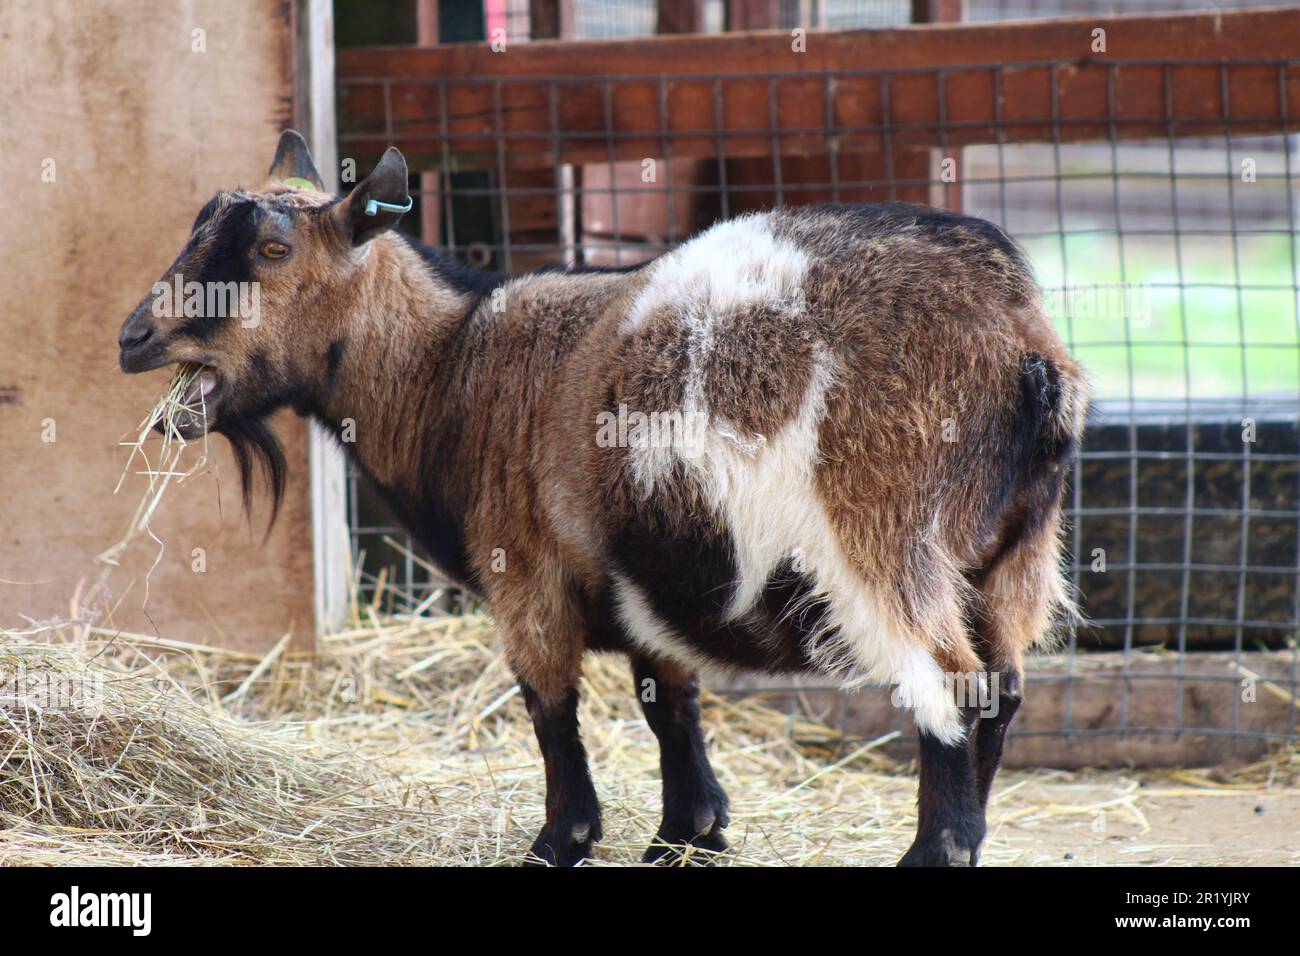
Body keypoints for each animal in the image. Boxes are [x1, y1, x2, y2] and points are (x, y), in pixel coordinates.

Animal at [118, 131, 1088, 866]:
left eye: (272, 249)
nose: (133, 338)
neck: (454, 369)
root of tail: (1019, 341)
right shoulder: (646, 580)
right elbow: (670, 702)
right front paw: (687, 835)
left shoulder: (527, 573)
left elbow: (550, 708)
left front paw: (561, 842)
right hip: (1013, 555)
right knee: (1003, 687)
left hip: (881, 534)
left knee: (951, 684)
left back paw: (933, 851)